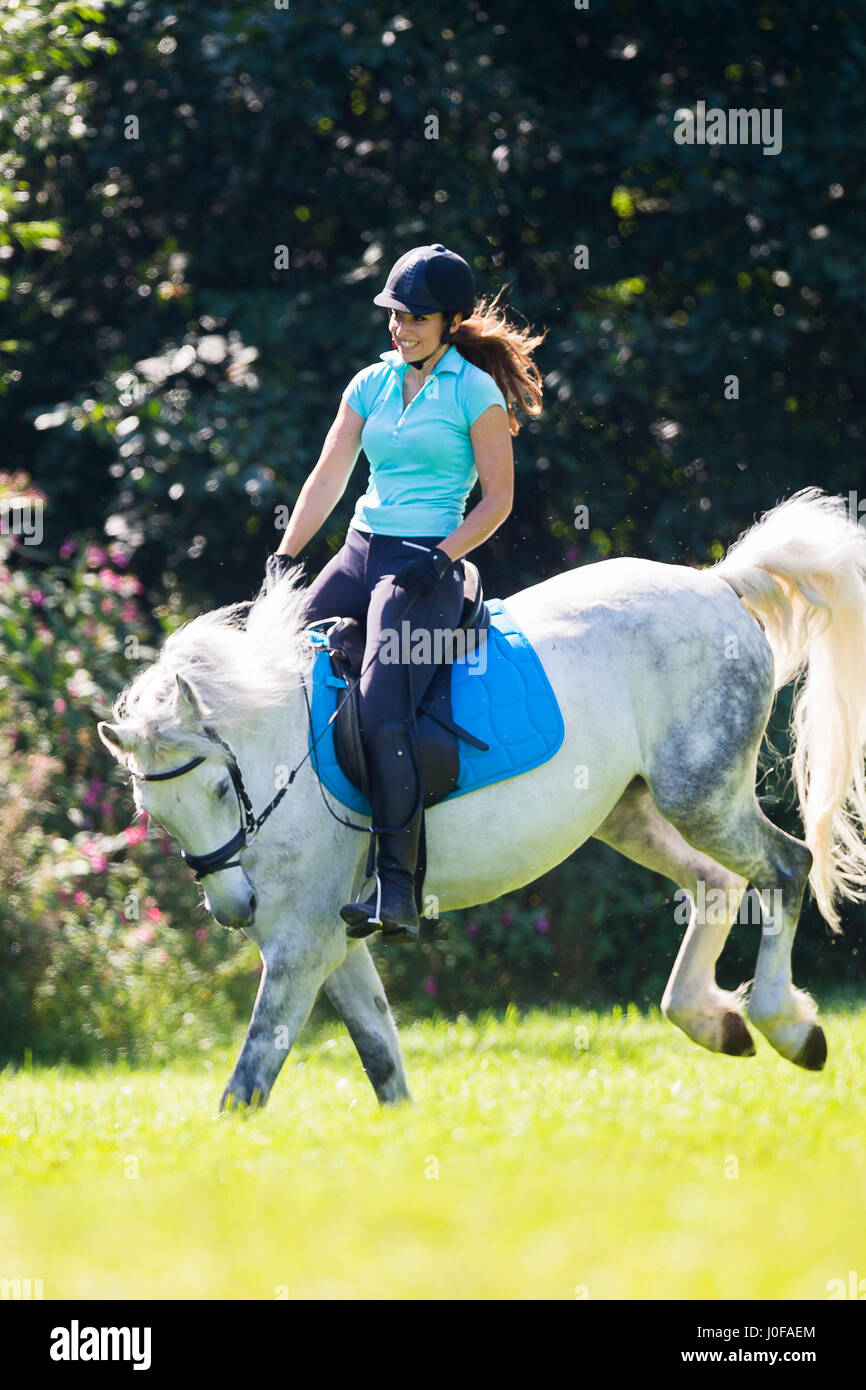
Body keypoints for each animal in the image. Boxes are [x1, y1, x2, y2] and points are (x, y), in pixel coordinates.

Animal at [97, 489, 866, 1109]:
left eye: (219, 786)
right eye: (155, 816)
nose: (234, 908)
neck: (289, 750)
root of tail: (717, 585)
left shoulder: (302, 943)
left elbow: (249, 1080)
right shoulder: (329, 943)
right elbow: (382, 1059)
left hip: (699, 797)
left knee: (786, 867)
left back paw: (787, 1026)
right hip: (631, 812)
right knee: (716, 882)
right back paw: (716, 1021)